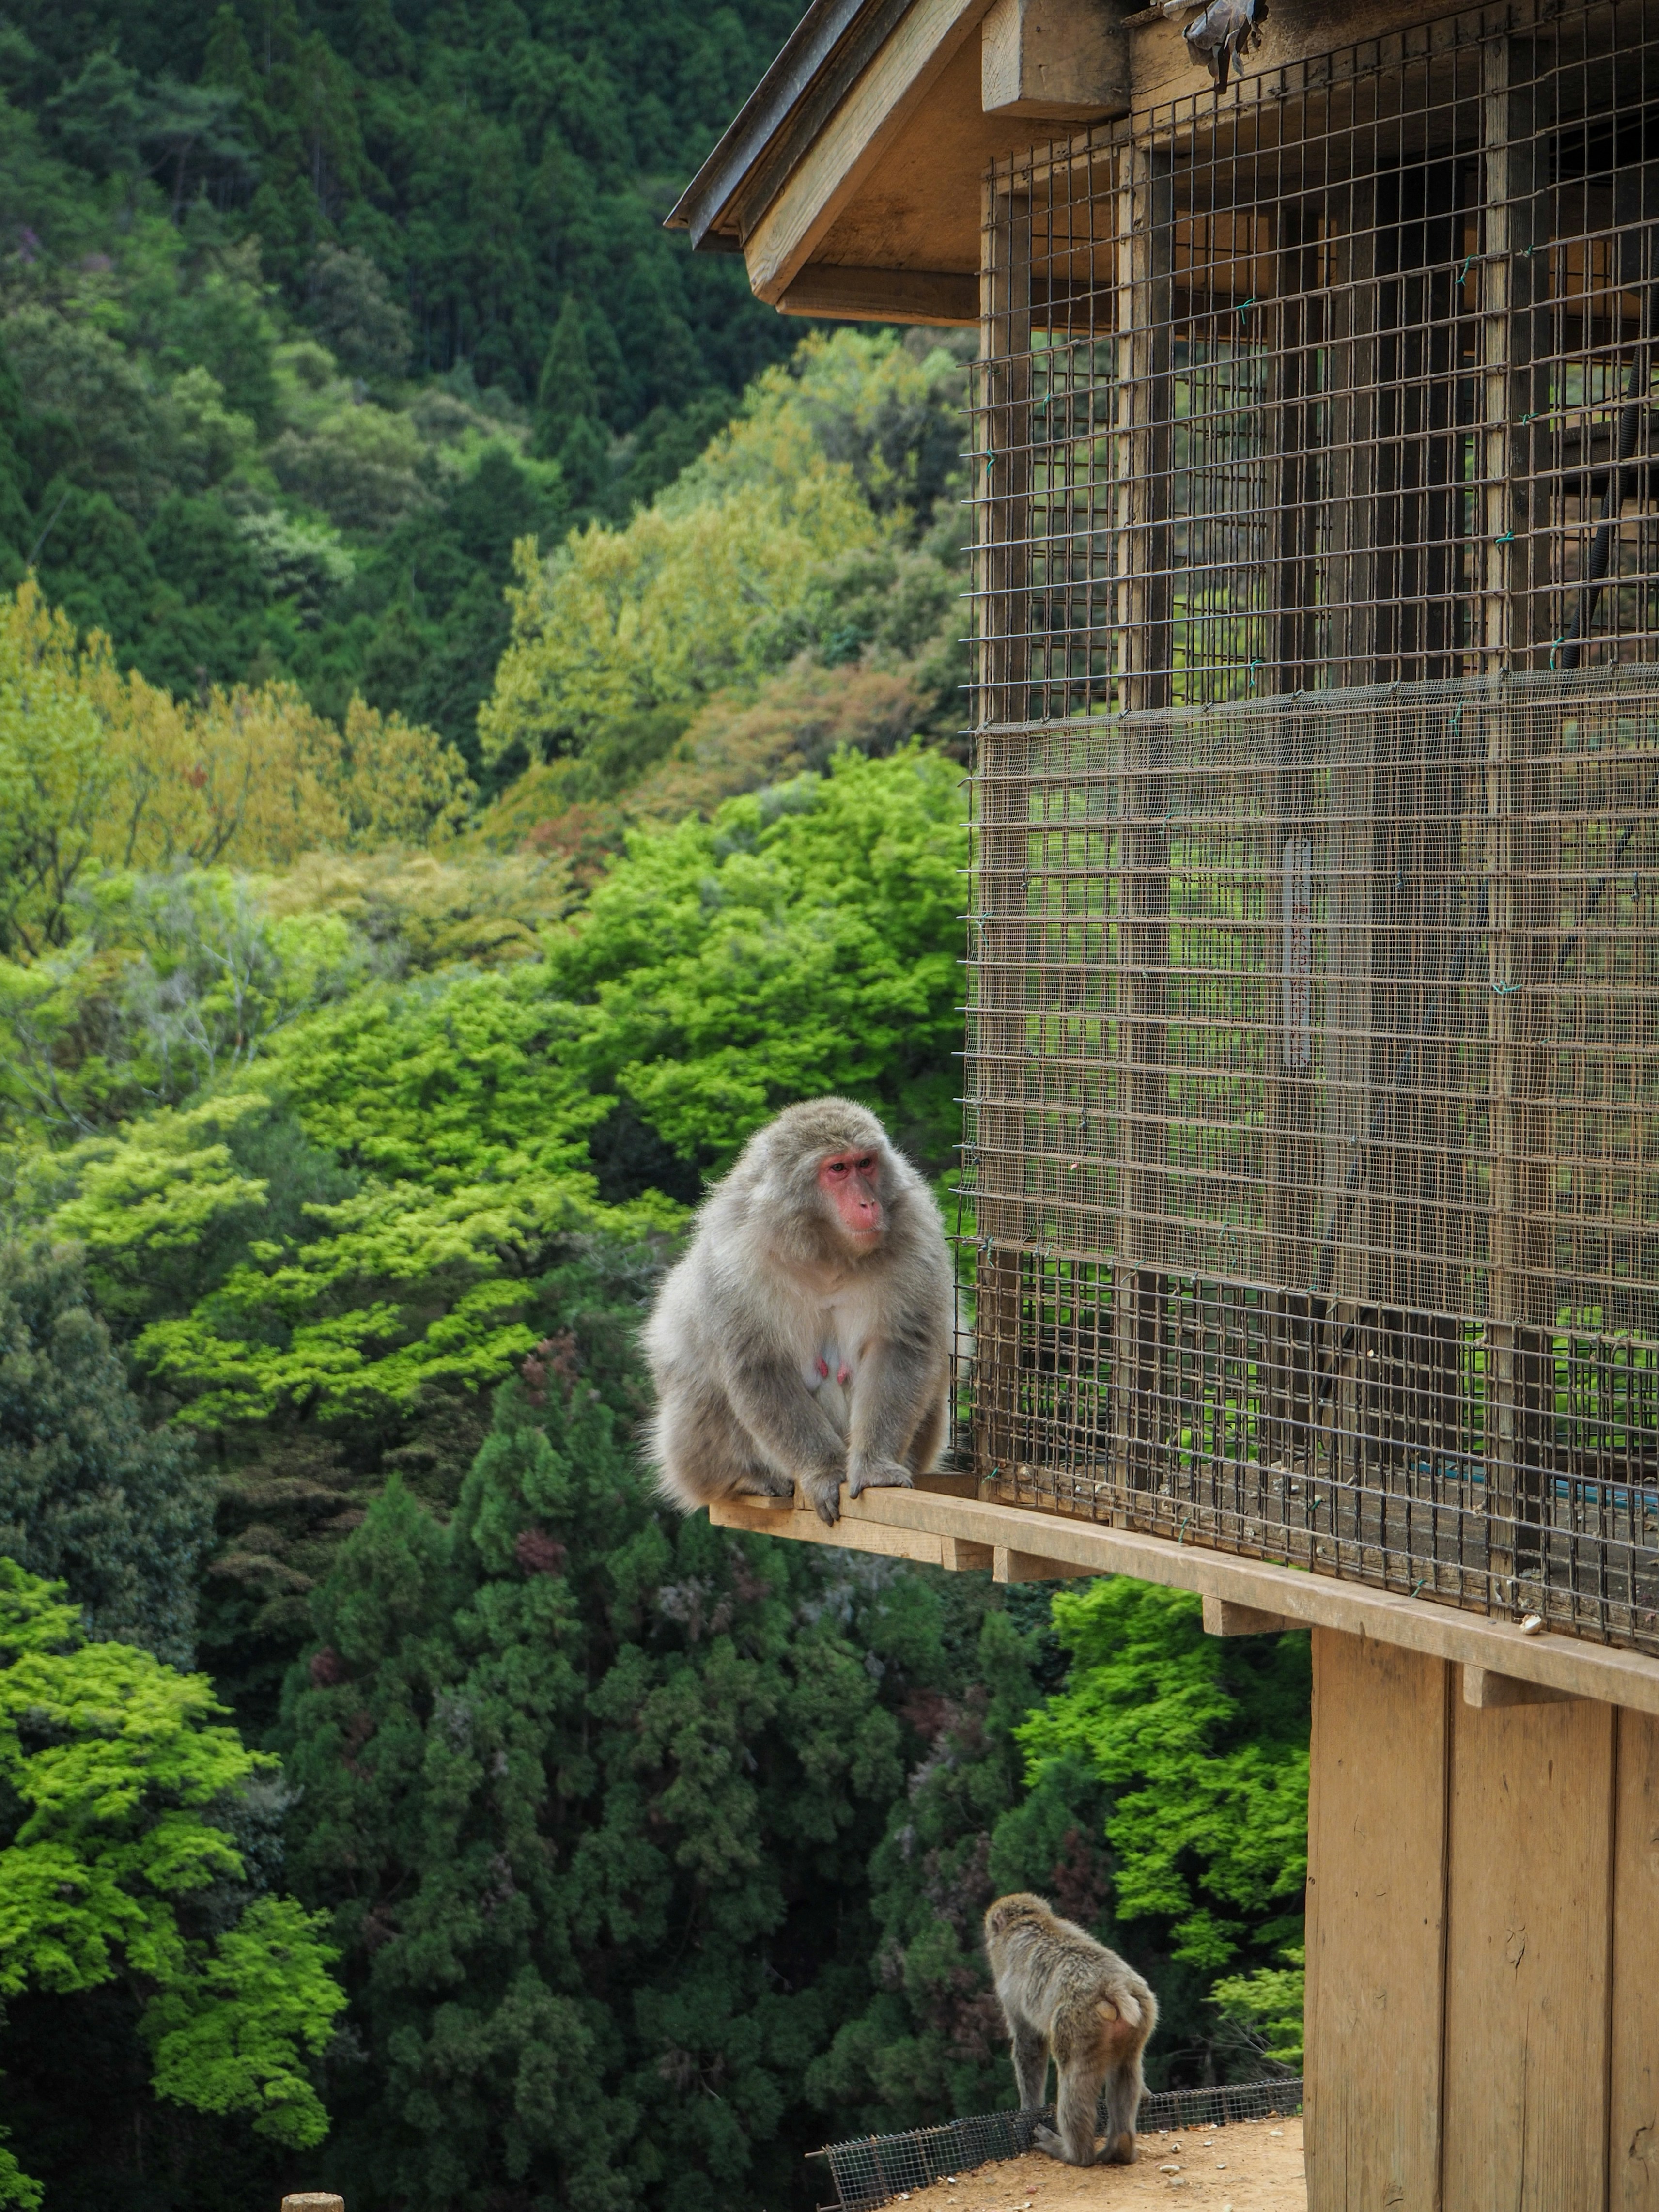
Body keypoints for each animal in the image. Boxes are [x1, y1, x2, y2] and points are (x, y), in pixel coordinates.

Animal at [642, 1097, 954, 1527]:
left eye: (866, 1163)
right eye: (837, 1169)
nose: (868, 1203)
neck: (825, 1251)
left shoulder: (916, 1233)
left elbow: (900, 1348)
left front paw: (876, 1466)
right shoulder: (731, 1257)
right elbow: (758, 1365)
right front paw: (824, 1473)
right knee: (698, 1382)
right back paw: (746, 1479)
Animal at [983, 1893, 1158, 2168]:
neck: (1028, 1920)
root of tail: (1112, 1985)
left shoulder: (1009, 1987)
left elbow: (1029, 2045)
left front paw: (1026, 2114)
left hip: (1077, 2024)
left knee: (1074, 2077)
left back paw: (1074, 2154)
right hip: (1143, 2012)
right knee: (1125, 2067)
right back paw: (1120, 2147)